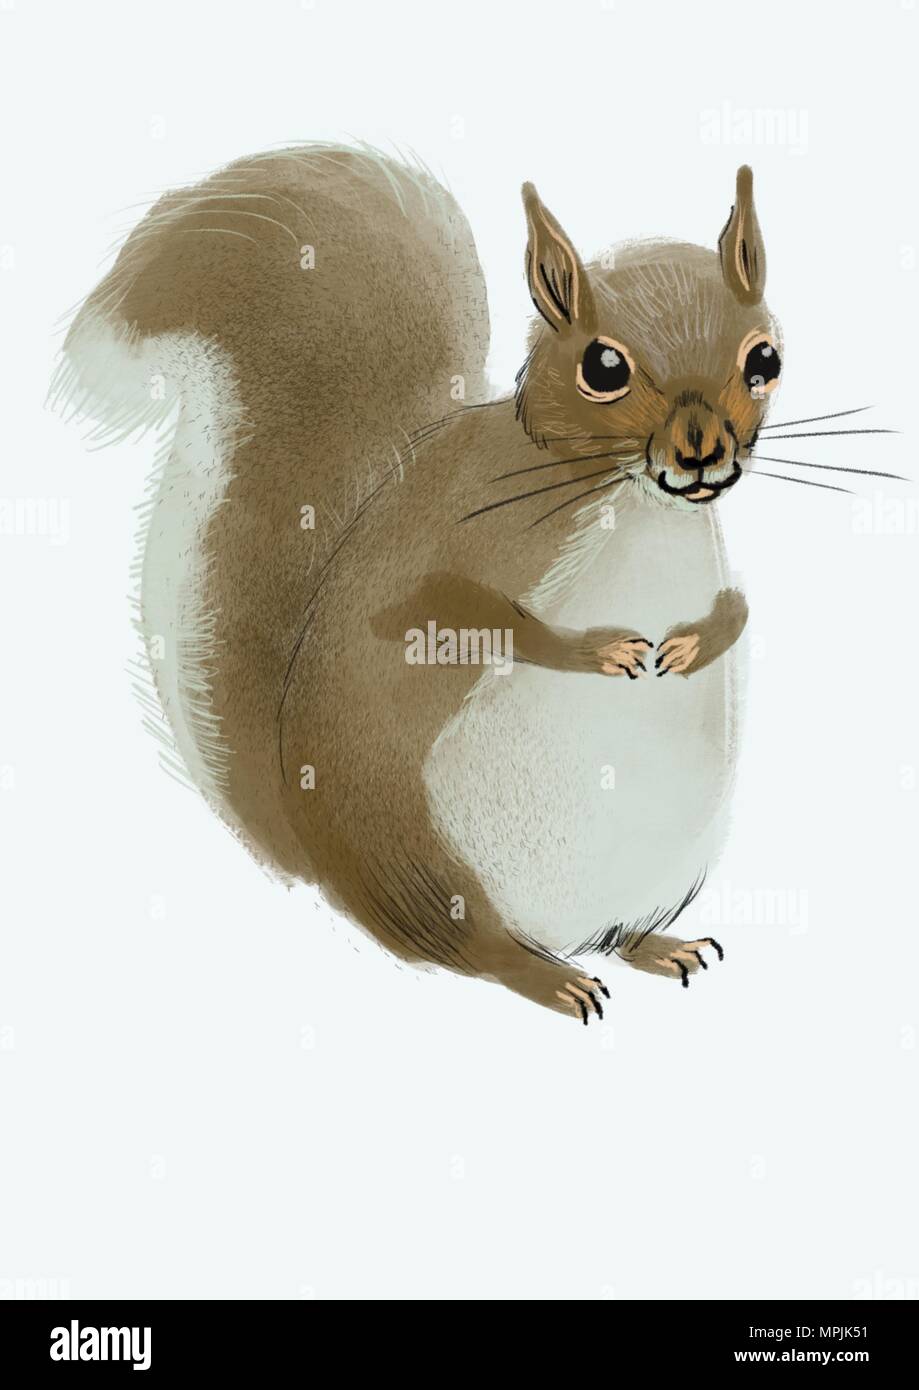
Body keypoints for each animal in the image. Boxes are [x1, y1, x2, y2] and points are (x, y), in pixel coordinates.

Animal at [54, 146, 782, 1023]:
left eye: (764, 359)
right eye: (602, 366)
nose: (703, 454)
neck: (636, 499)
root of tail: (331, 870)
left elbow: (737, 611)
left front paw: (690, 646)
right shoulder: (464, 534)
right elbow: (436, 616)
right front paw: (599, 652)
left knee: (609, 932)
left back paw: (654, 944)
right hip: (436, 864)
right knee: (469, 950)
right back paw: (547, 976)